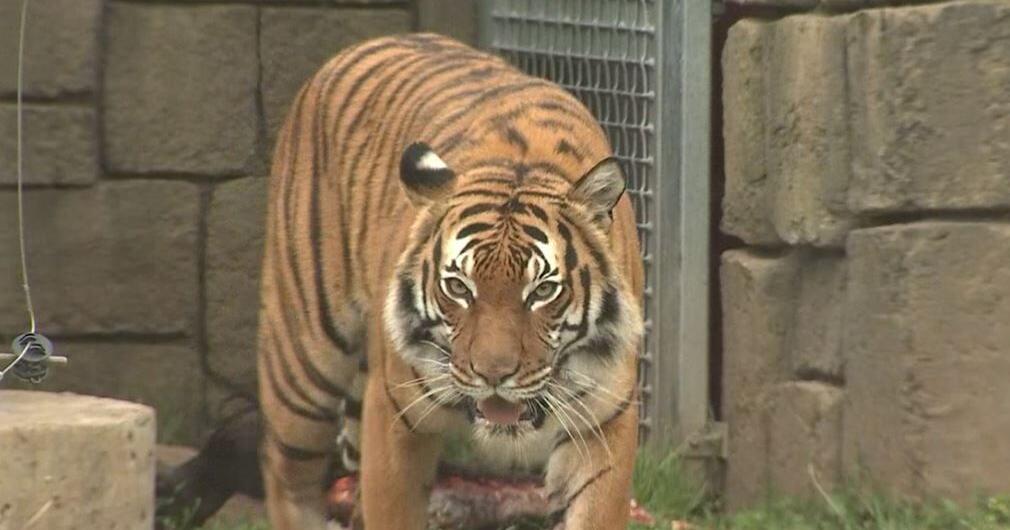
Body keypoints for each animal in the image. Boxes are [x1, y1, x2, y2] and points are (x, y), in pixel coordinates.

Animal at [257, 33, 645, 530]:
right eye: (459, 287)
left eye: (543, 291)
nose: (493, 375)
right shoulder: (395, 416)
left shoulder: (603, 422)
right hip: (303, 366)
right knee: (286, 475)